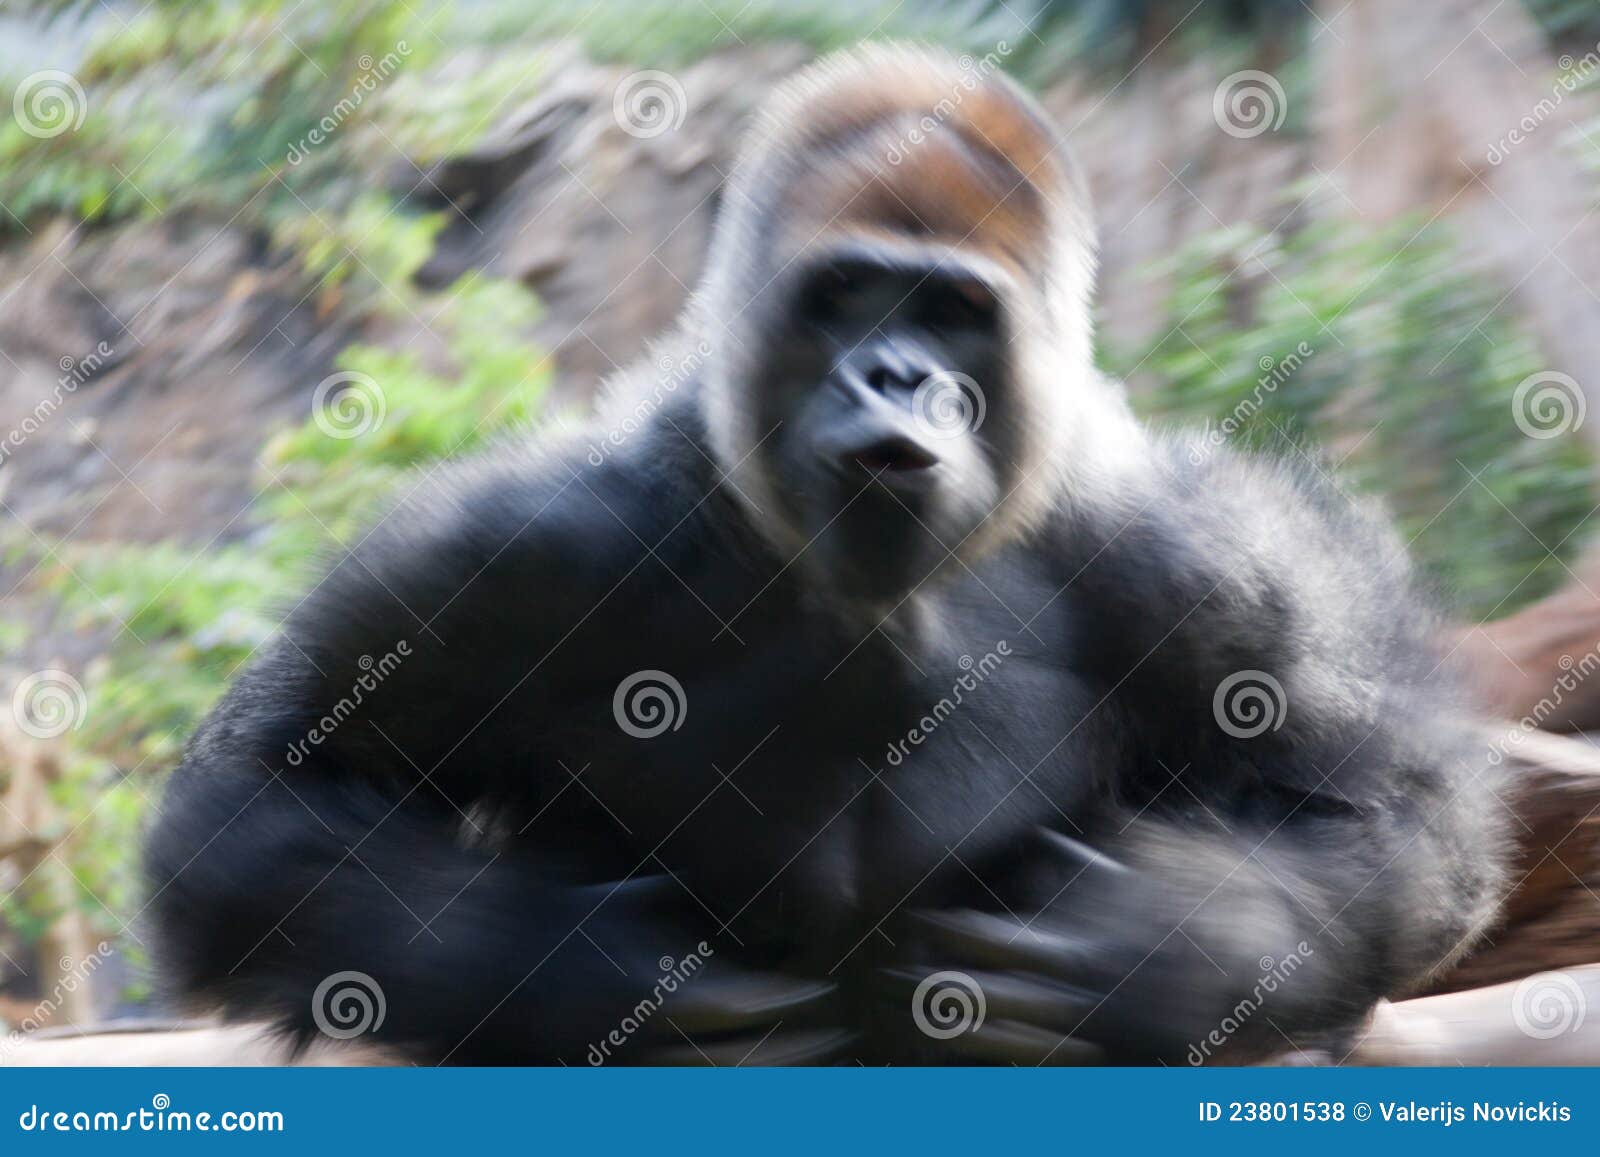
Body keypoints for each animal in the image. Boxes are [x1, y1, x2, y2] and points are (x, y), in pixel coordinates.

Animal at [142, 44, 1507, 1065]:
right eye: (847, 292)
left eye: (953, 309)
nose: (892, 377)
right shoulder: (522, 546)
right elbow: (247, 808)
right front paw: (573, 967)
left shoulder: (1202, 563)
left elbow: (1392, 818)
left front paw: (1168, 945)